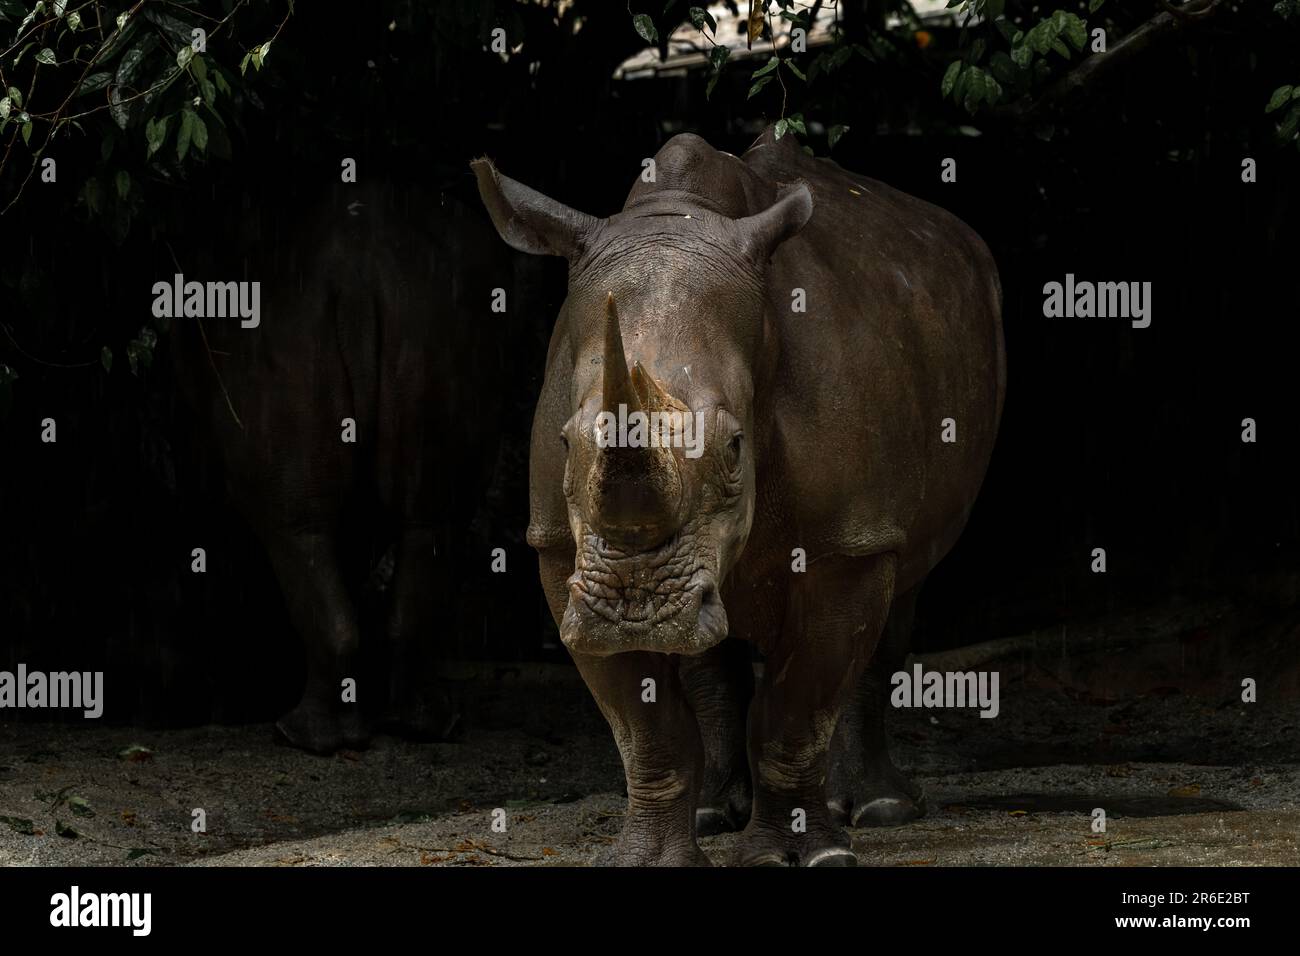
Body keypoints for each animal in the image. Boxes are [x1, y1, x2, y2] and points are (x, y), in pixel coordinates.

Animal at [473, 126, 1004, 865]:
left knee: (902, 590)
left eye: (733, 449)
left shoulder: (847, 544)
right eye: (566, 444)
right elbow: (647, 730)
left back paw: (879, 810)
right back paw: (711, 815)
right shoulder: (561, 553)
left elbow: (796, 714)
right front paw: (648, 859)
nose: (634, 608)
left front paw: (803, 856)